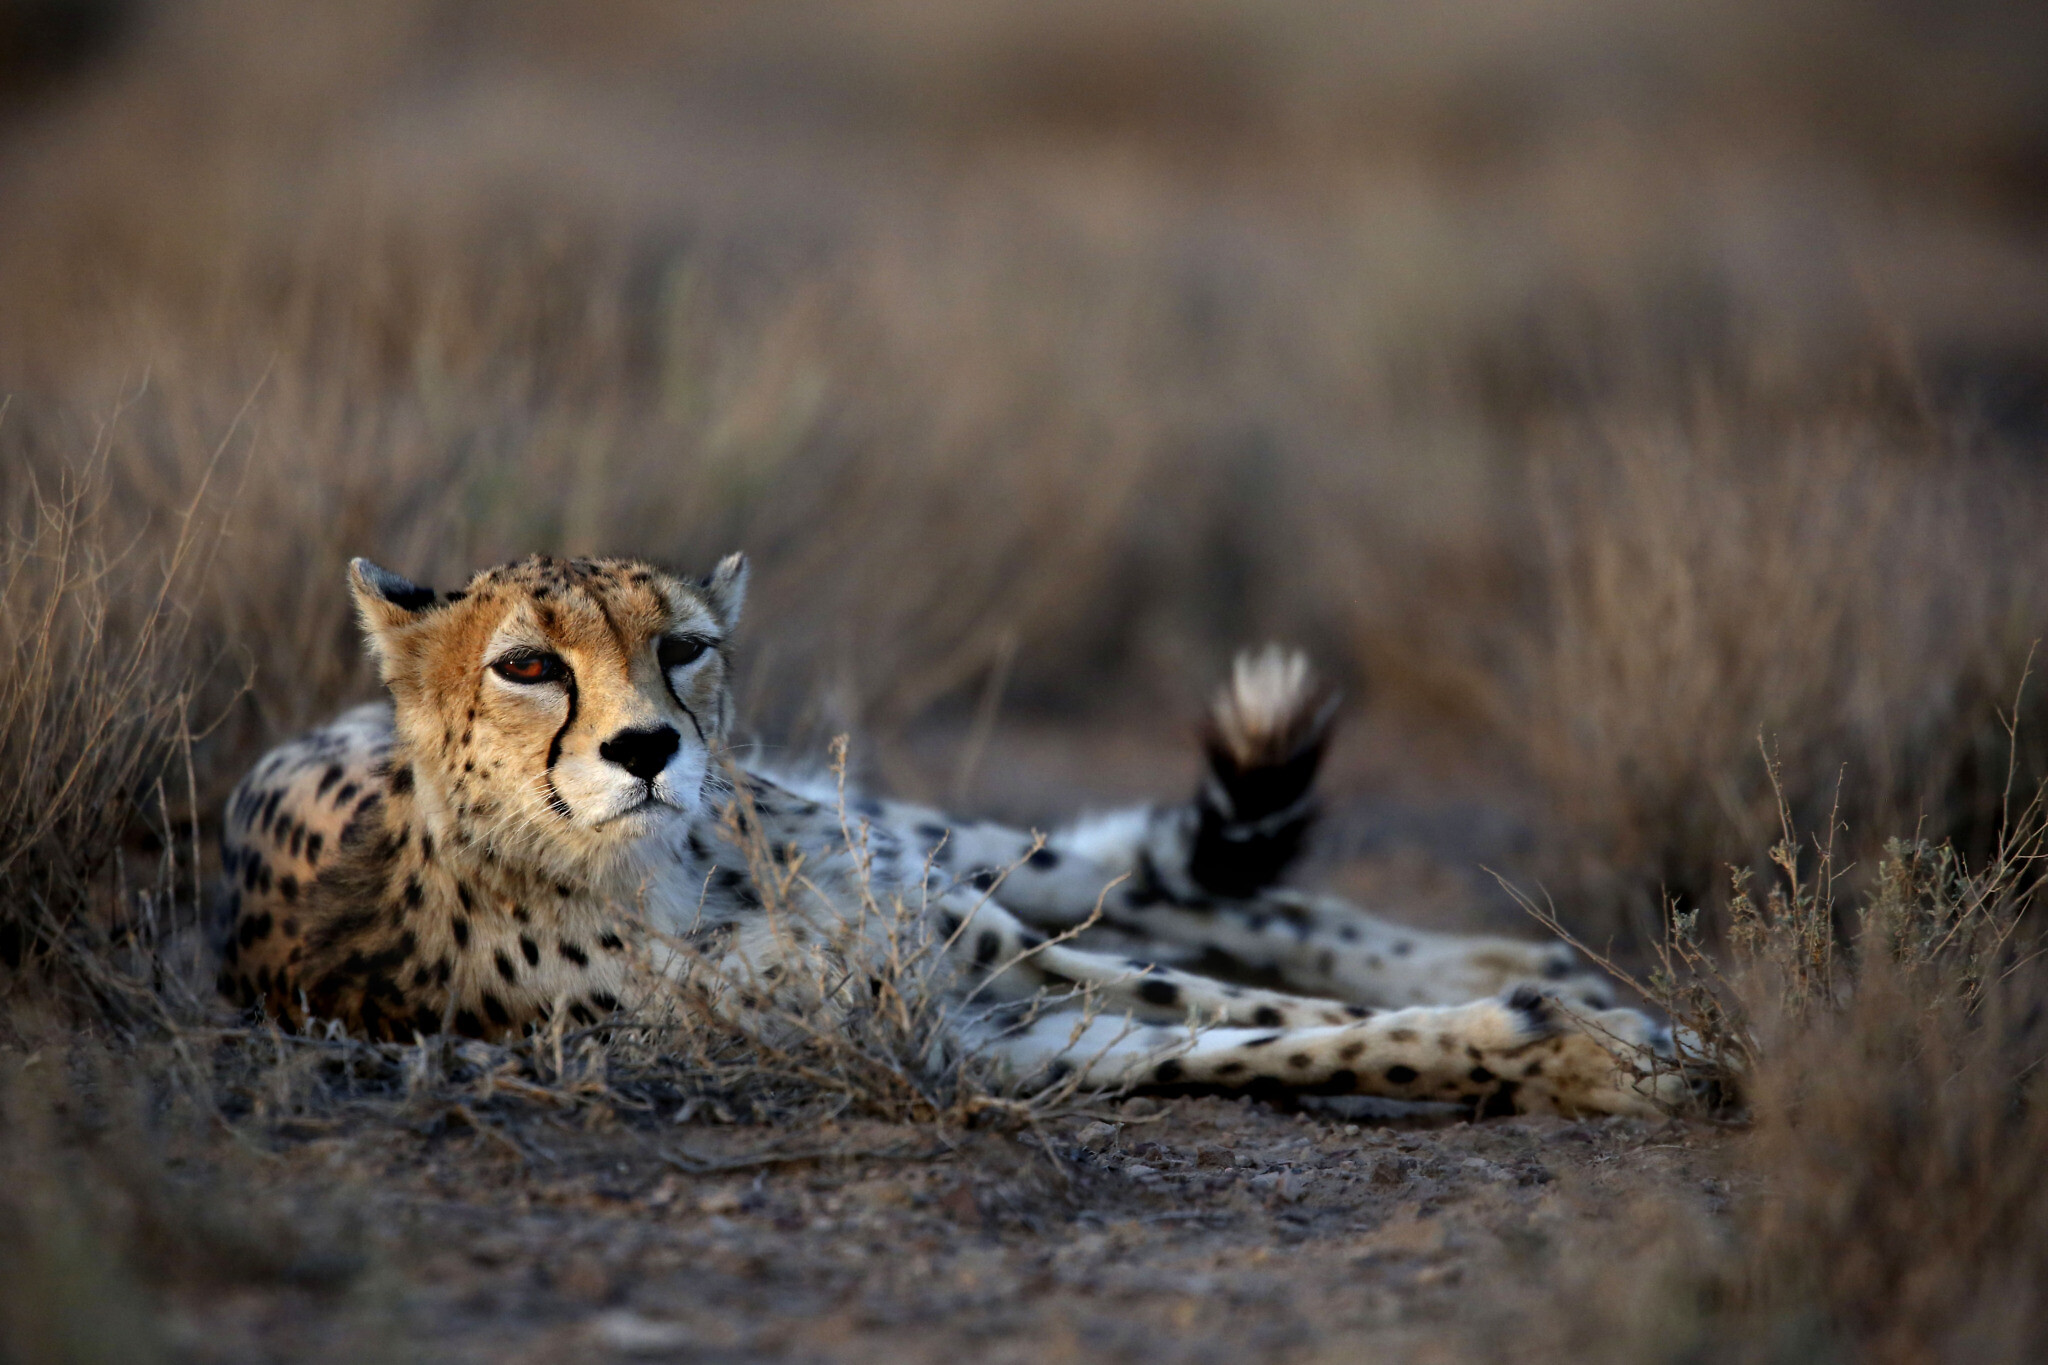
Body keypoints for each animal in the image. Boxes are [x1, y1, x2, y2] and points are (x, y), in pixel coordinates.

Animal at [216, 551, 1693, 1117]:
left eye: (680, 647)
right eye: (528, 665)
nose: (648, 749)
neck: (689, 877)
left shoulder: (972, 960)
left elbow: (1234, 994)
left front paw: (1606, 1027)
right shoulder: (974, 1037)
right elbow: (1257, 1041)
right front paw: (1573, 1051)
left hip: (937, 847)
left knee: (1182, 895)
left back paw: (1507, 958)